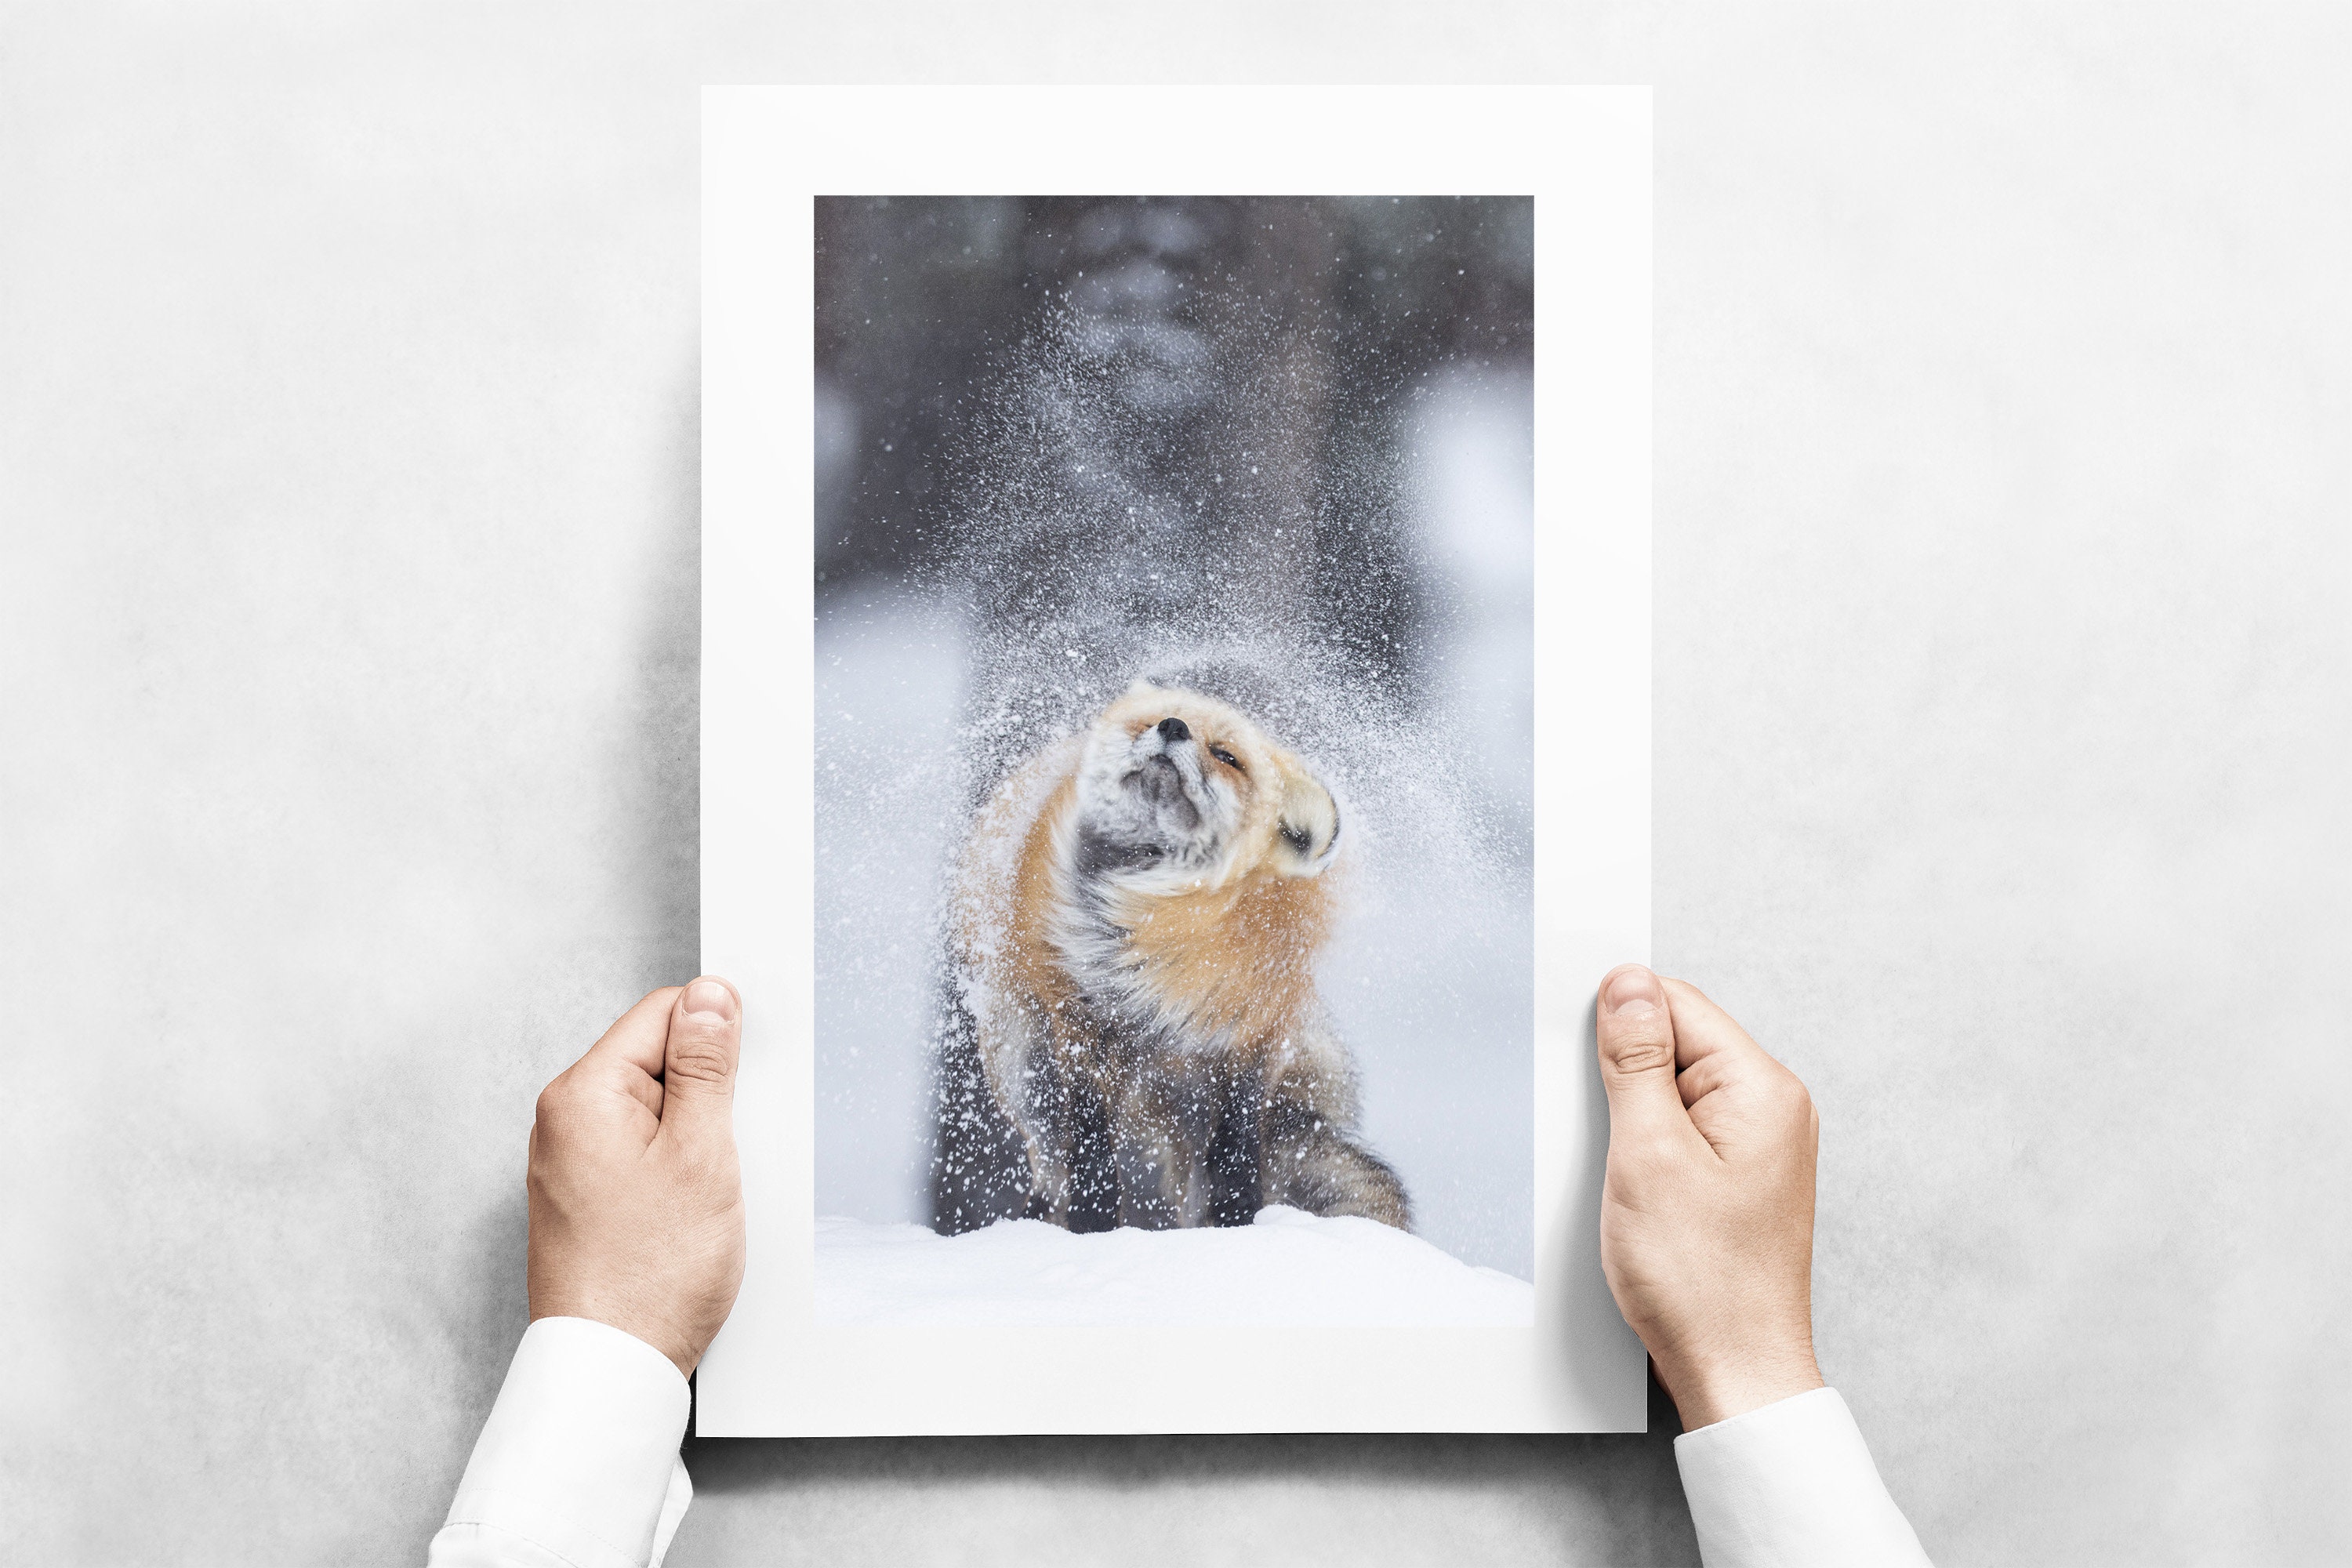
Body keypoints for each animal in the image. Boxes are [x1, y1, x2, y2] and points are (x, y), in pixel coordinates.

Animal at [937, 679, 1410, 1235]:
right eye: (1151, 721)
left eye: (1227, 756)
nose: (1173, 727)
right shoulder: (1077, 1029)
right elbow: (1092, 1156)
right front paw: (1092, 1230)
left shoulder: (1249, 1043)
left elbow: (1236, 1157)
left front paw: (1238, 1227)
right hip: (1026, 1069)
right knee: (1053, 1164)